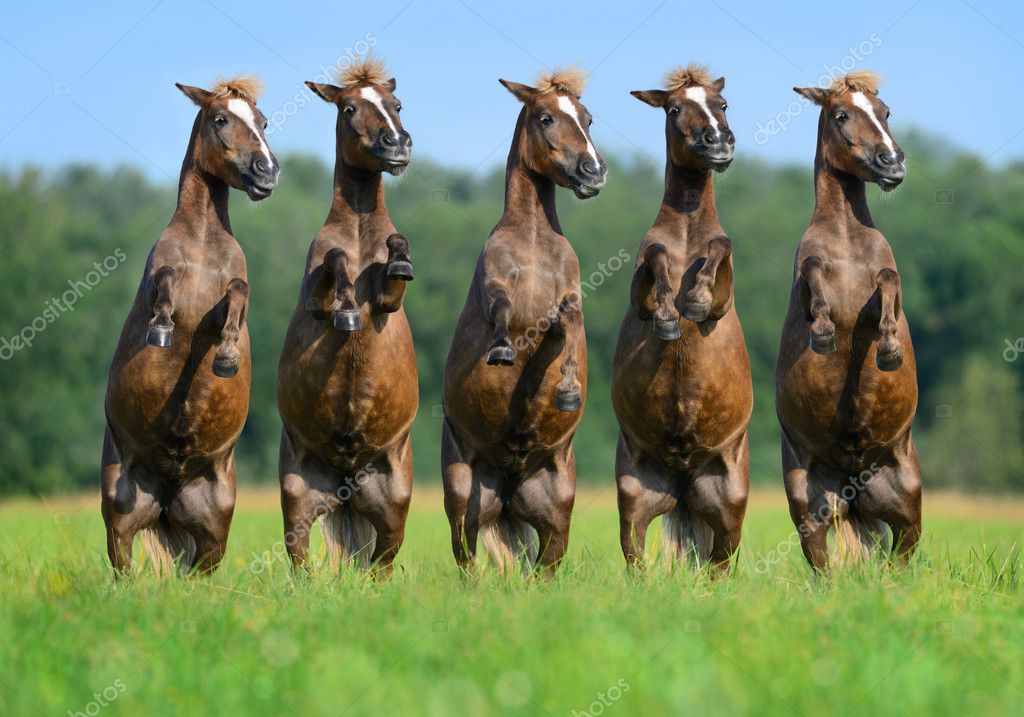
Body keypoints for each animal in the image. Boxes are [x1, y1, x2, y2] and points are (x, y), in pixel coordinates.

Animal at [101, 76, 279, 575]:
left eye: (263, 122)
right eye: (220, 119)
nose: (267, 172)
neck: (201, 247)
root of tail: (167, 490)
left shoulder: (230, 295)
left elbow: (237, 297)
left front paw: (226, 357)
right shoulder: (160, 278)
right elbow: (164, 287)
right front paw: (161, 330)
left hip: (213, 524)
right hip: (120, 514)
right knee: (122, 570)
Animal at [276, 58, 416, 577]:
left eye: (397, 104)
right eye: (349, 107)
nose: (397, 144)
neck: (358, 234)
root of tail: (346, 484)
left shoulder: (391, 302)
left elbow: (397, 256)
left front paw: (398, 262)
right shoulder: (314, 300)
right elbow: (333, 268)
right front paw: (348, 314)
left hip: (394, 505)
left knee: (381, 565)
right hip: (297, 500)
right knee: (300, 563)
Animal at [442, 68, 607, 574]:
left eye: (588, 118)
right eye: (546, 117)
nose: (594, 171)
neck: (534, 245)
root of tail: (511, 486)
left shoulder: (569, 300)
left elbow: (568, 325)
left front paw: (569, 389)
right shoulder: (493, 286)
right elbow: (501, 308)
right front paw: (501, 350)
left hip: (556, 509)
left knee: (544, 569)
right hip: (463, 497)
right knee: (468, 562)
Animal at [611, 65, 751, 573]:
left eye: (722, 104)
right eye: (674, 108)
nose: (719, 141)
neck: (687, 236)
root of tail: (684, 480)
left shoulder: (725, 299)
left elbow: (721, 247)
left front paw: (693, 301)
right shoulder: (639, 295)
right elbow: (655, 261)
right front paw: (671, 318)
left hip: (729, 506)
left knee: (719, 567)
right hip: (634, 500)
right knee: (637, 560)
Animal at [776, 71, 920, 570]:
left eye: (886, 111)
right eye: (841, 115)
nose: (892, 161)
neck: (847, 243)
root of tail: (853, 486)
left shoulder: (884, 283)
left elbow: (889, 282)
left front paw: (890, 349)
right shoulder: (809, 275)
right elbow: (815, 280)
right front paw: (822, 334)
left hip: (907, 503)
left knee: (901, 558)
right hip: (809, 506)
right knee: (823, 564)